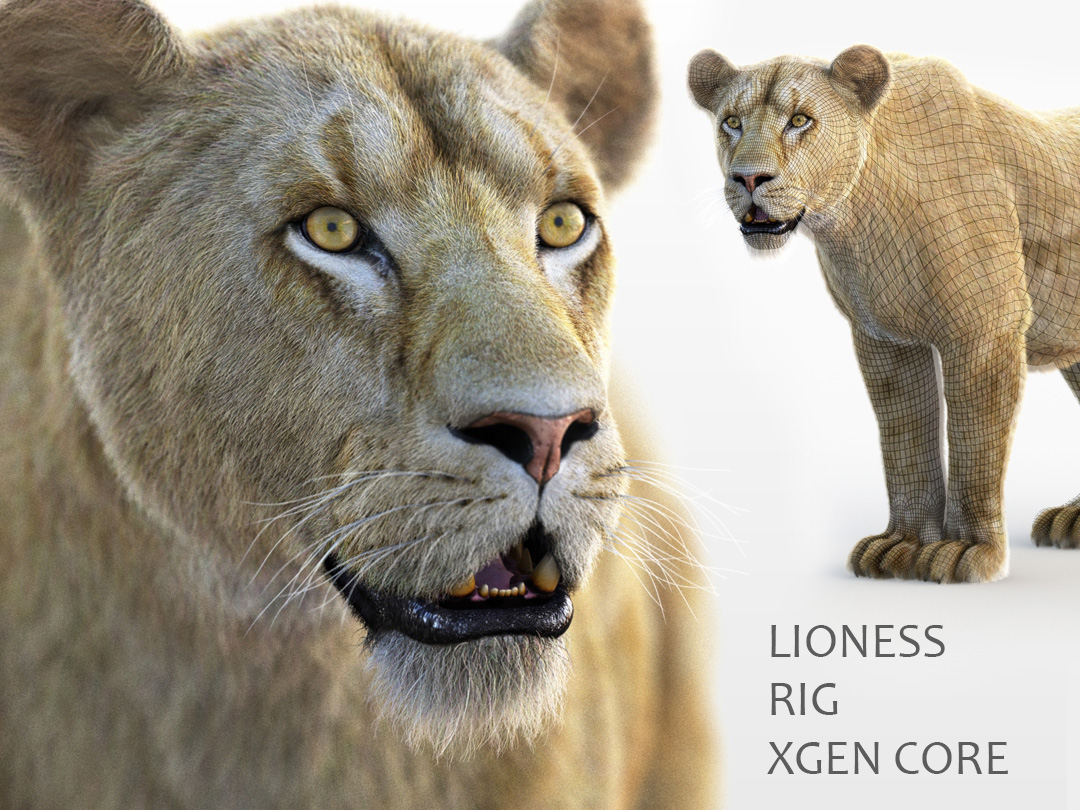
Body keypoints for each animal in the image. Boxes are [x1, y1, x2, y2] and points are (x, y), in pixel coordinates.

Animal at [689, 44, 1080, 583]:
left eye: (800, 120)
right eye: (732, 122)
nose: (747, 177)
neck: (855, 221)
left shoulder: (986, 327)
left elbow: (975, 443)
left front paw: (969, 551)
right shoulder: (885, 340)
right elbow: (905, 443)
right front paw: (903, 544)